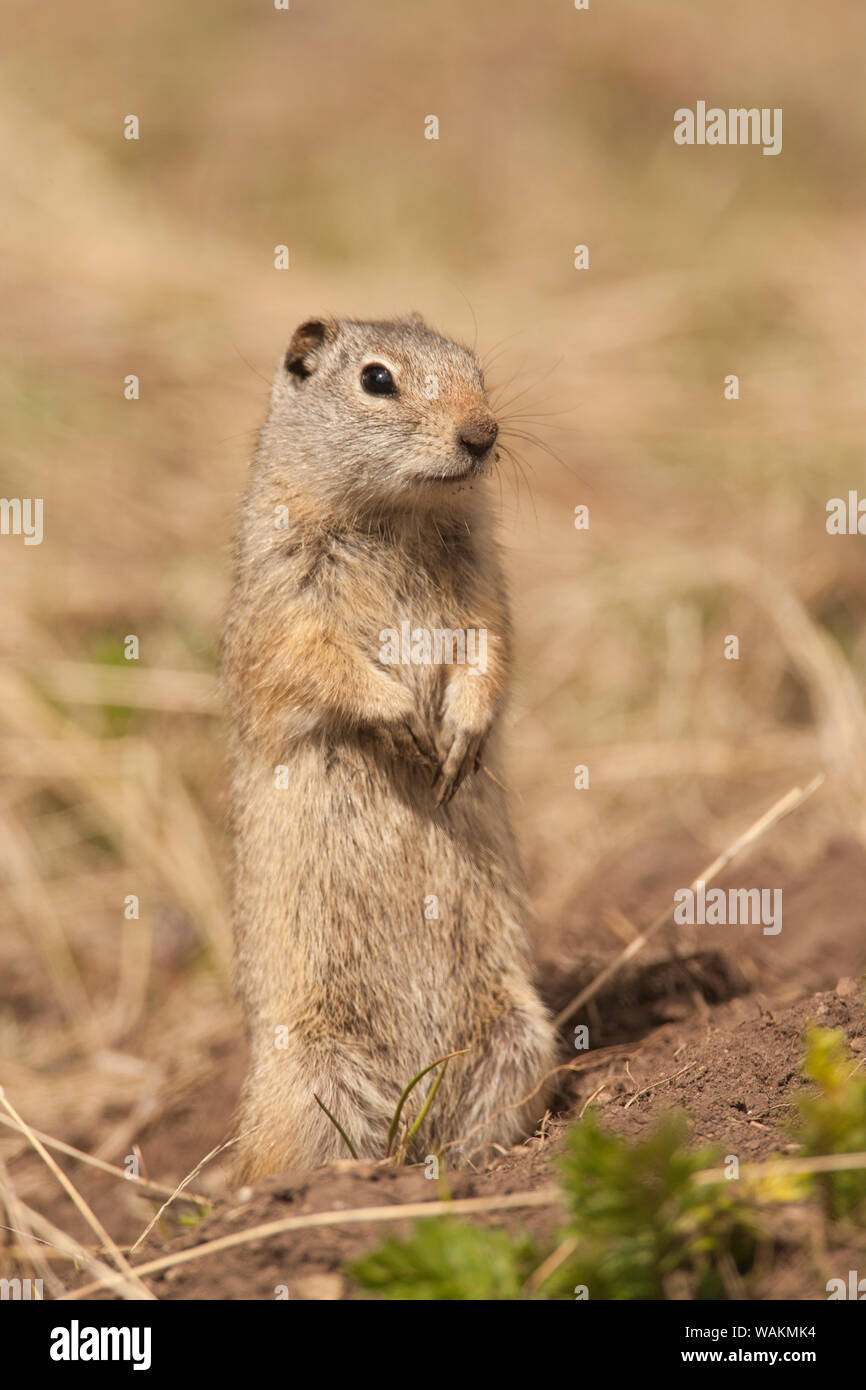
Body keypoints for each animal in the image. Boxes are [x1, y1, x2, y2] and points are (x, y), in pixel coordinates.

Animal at [222, 314, 557, 1180]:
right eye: (377, 379)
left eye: (478, 371)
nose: (483, 433)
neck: (398, 516)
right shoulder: (285, 592)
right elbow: (314, 660)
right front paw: (404, 724)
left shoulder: (485, 583)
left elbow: (489, 649)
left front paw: (459, 741)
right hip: (309, 1081)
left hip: (519, 1042)